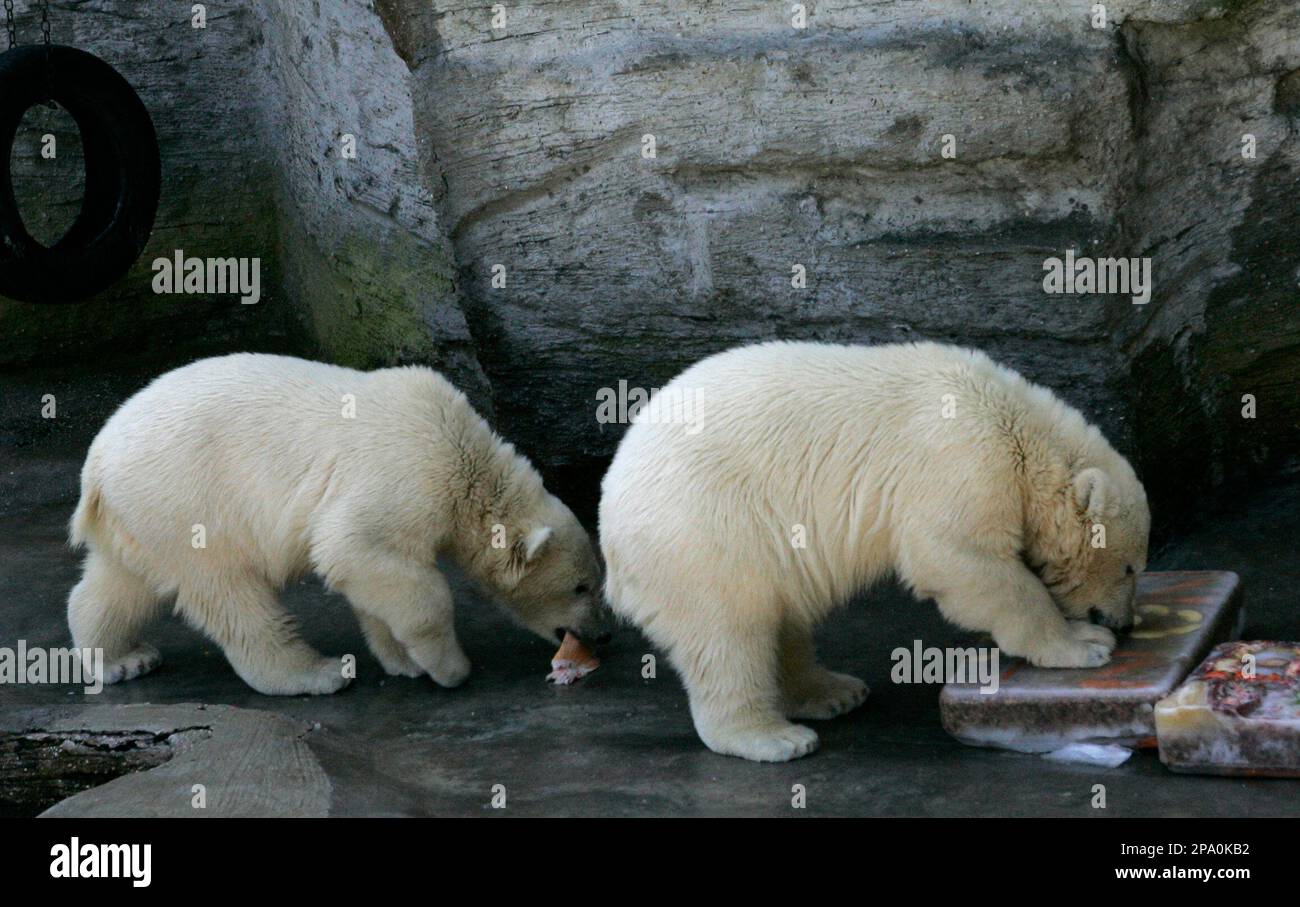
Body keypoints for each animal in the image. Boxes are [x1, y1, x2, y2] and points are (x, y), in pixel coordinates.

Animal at [67, 353, 604, 695]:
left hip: (143, 514)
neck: (465, 454)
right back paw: (317, 674)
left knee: (119, 584)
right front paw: (450, 668)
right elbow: (358, 550)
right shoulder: (407, 473)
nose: (599, 634)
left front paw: (404, 661)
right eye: (581, 587)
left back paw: (120, 657)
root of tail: (96, 464)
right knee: (232, 594)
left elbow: (370, 575)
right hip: (187, 499)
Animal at [599, 340, 1150, 762]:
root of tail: (609, 526)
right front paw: (1084, 643)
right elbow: (962, 560)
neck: (1012, 421)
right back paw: (773, 737)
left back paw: (831, 691)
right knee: (730, 631)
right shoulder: (963, 460)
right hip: (703, 534)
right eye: (1129, 568)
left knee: (781, 619)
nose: (1126, 623)